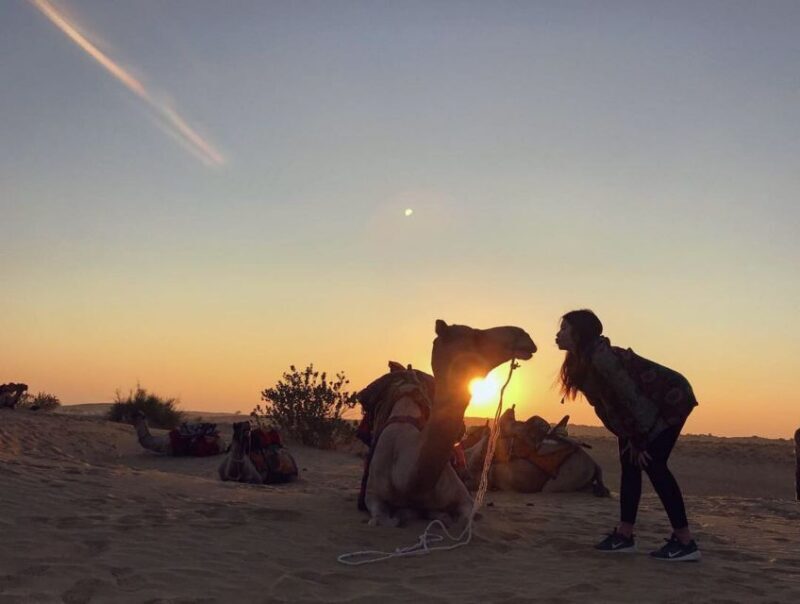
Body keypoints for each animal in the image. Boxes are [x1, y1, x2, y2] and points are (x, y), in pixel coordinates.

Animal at [363, 319, 536, 527]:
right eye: (475, 335)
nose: (524, 335)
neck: (407, 481)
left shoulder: (464, 498)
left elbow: (466, 517)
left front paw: (440, 515)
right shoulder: (373, 495)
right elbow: (384, 519)